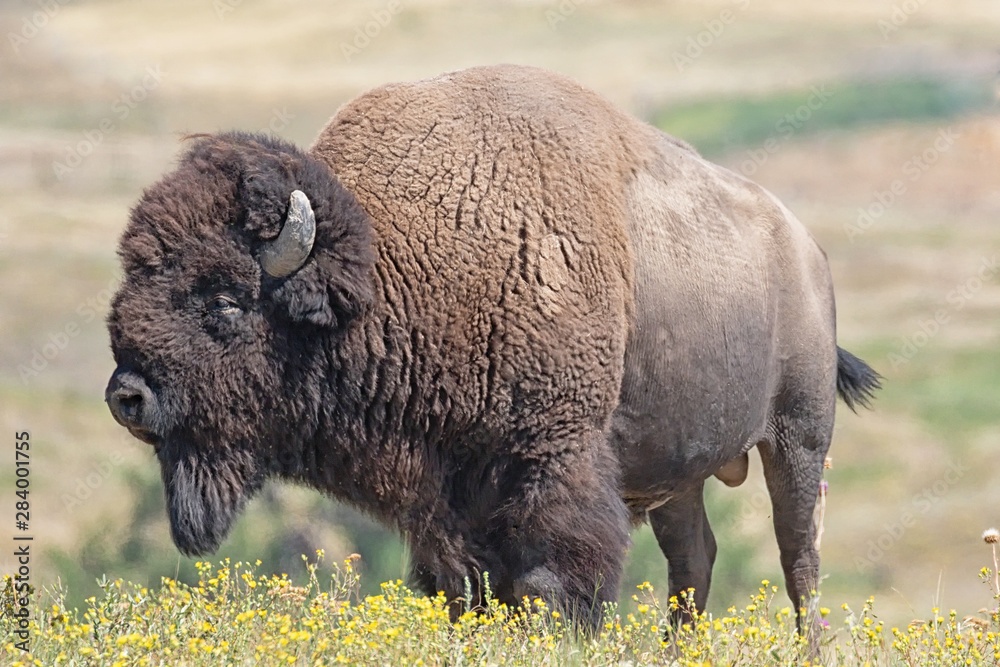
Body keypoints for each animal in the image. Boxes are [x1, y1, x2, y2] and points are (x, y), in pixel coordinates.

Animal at [106, 64, 879, 638]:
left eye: (226, 301)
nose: (127, 396)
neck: (402, 264)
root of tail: (807, 250)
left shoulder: (554, 464)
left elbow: (548, 581)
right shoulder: (447, 500)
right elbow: (465, 588)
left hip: (798, 437)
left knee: (800, 558)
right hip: (676, 471)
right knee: (695, 560)